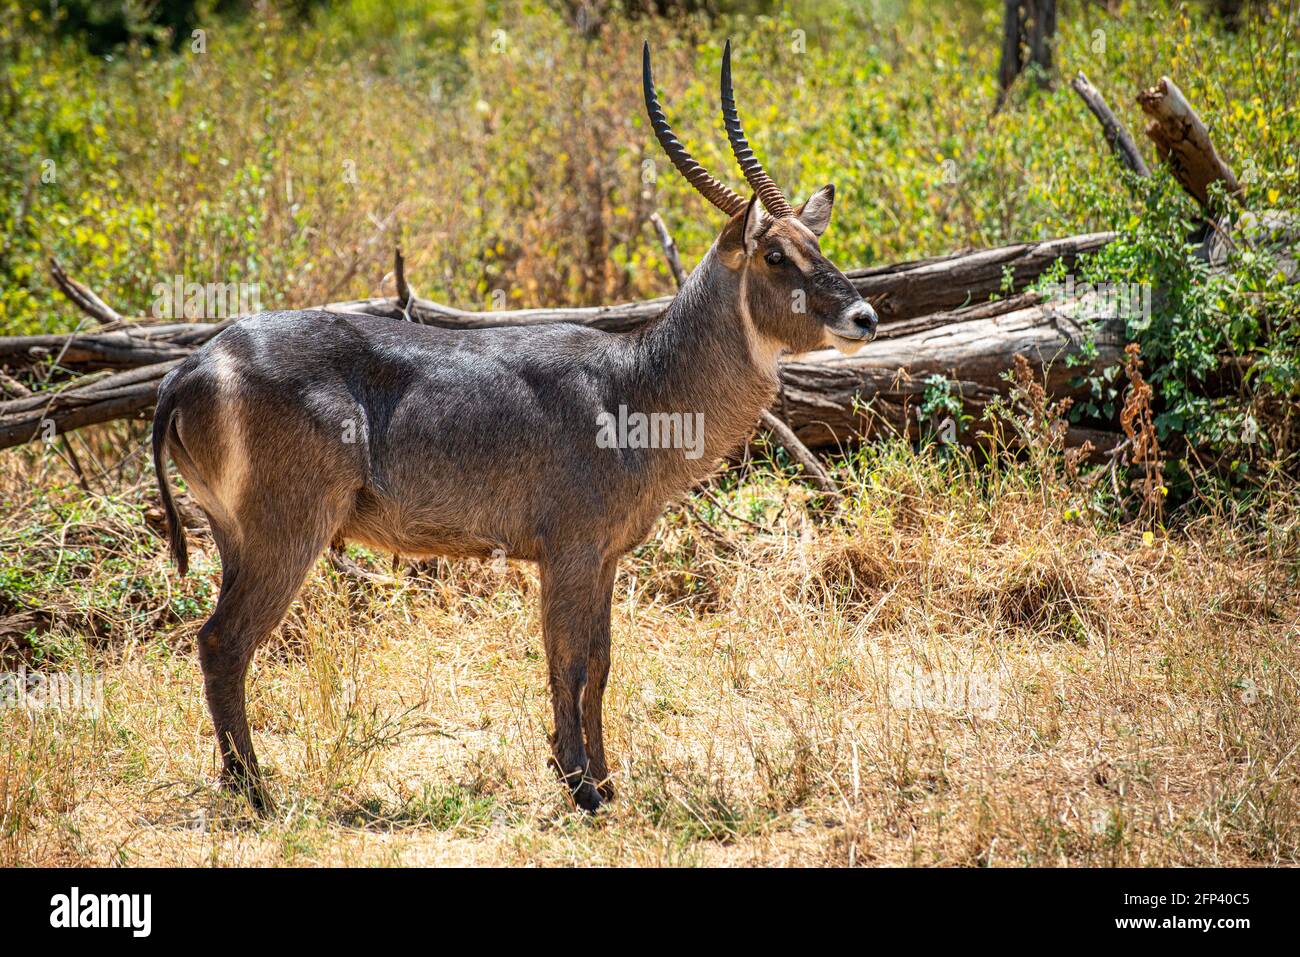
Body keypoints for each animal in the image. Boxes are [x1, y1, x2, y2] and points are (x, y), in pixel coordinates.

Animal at [152, 40, 877, 813]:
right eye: (775, 255)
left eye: (818, 244)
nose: (864, 317)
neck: (637, 384)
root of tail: (194, 363)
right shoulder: (568, 551)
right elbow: (569, 661)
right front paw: (580, 785)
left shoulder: (606, 555)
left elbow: (602, 659)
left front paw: (605, 780)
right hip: (287, 532)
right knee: (223, 642)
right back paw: (256, 792)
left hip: (235, 537)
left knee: (217, 641)